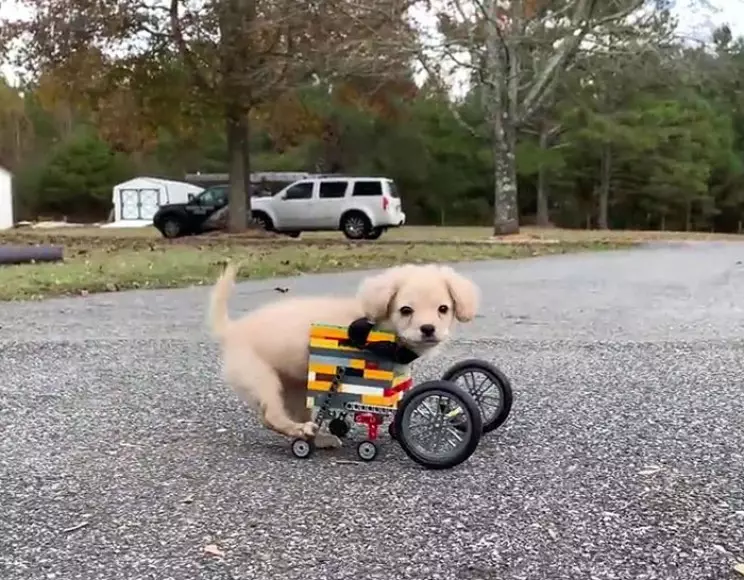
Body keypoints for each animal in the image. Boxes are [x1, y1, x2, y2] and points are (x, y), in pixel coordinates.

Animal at [206, 262, 480, 448]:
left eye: (443, 309)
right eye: (405, 310)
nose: (428, 329)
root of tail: (232, 330)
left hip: (296, 388)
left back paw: (319, 437)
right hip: (263, 380)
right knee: (271, 416)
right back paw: (300, 431)